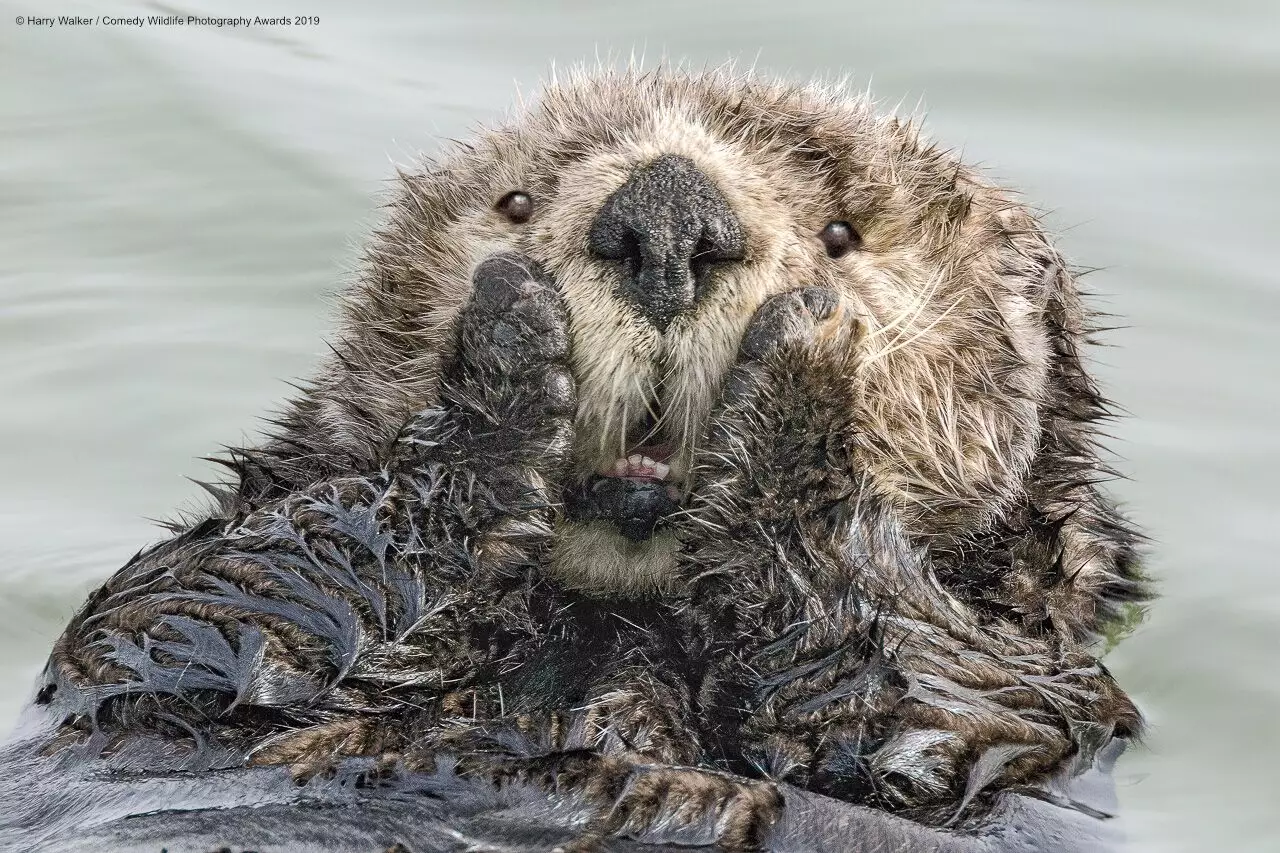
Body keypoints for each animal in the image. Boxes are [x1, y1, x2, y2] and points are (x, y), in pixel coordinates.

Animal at [0, 69, 1146, 845]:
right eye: (516, 202)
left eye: (840, 233)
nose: (668, 215)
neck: (610, 622)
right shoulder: (151, 649)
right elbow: (200, 610)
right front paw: (508, 340)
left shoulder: (1035, 704)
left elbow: (908, 702)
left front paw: (803, 367)